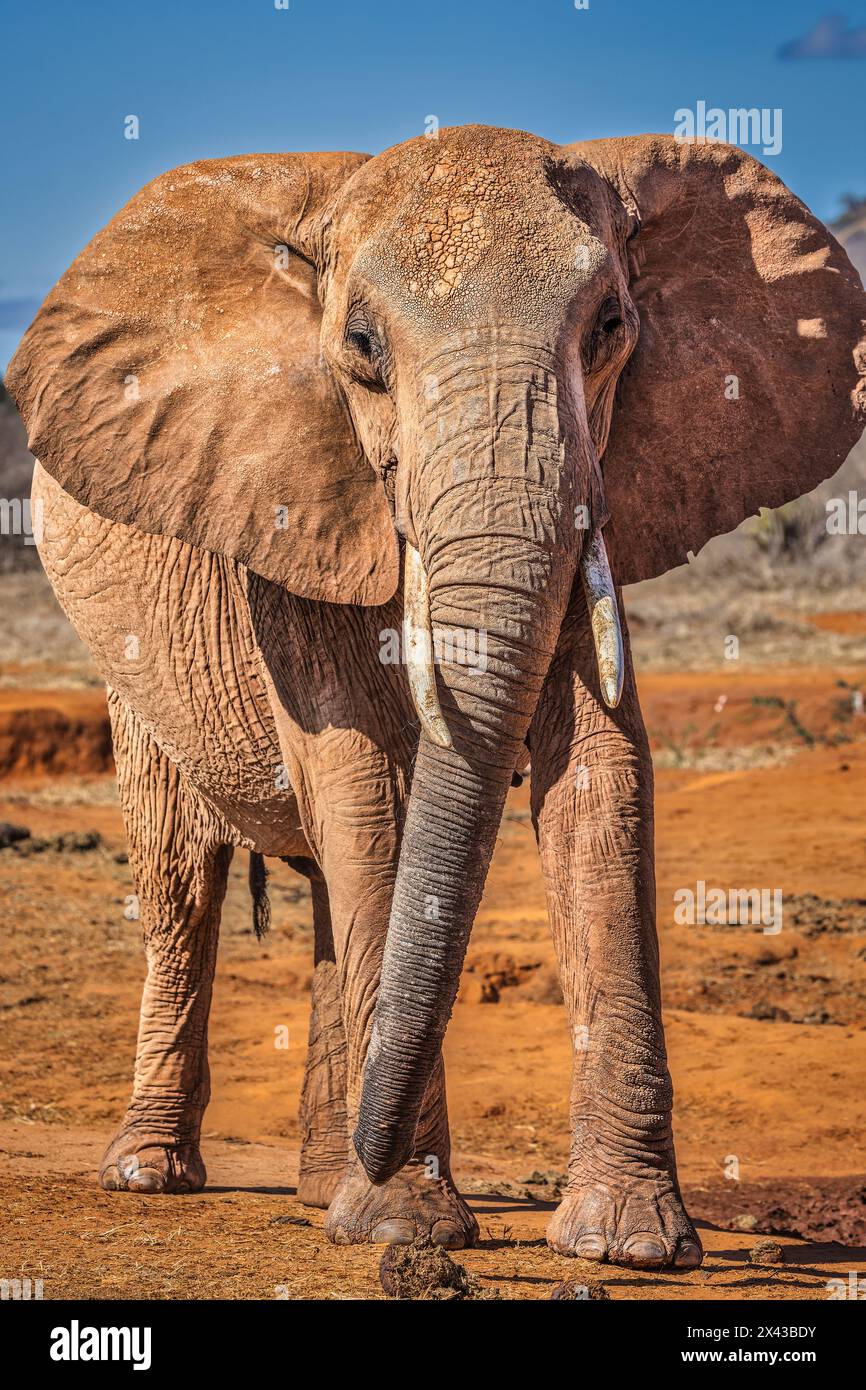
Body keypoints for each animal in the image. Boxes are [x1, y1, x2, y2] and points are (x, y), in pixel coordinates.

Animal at [7, 125, 866, 1269]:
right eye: (363, 345)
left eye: (610, 328)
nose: (382, 1163)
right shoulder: (290, 507)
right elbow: (365, 777)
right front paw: (404, 1223)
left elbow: (601, 777)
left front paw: (627, 1243)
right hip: (124, 665)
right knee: (181, 873)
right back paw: (157, 1173)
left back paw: (322, 1182)